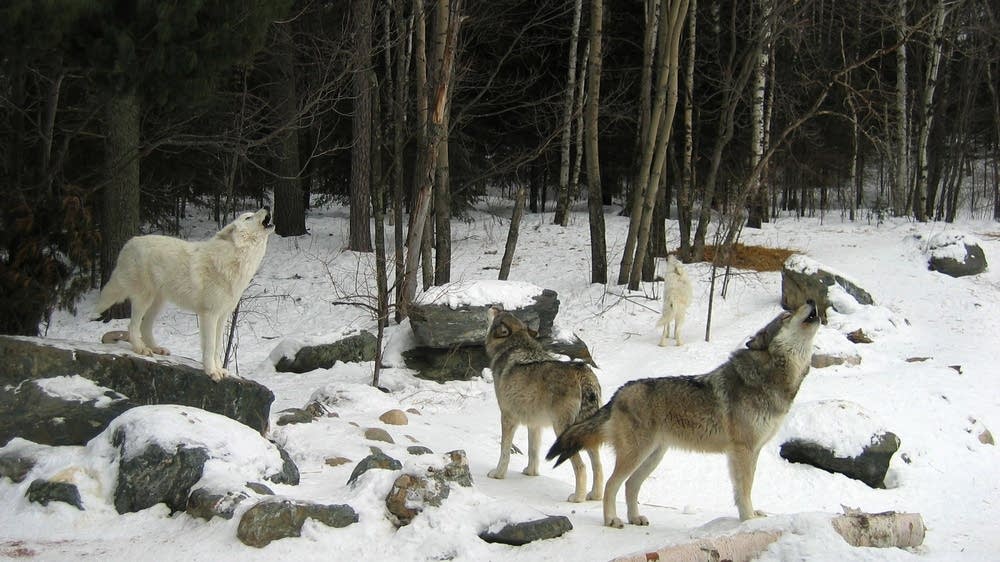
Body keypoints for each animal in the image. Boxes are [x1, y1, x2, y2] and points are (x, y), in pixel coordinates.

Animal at [93, 209, 274, 381]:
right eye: (248, 217)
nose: (267, 207)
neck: (236, 259)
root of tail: (130, 242)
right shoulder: (209, 315)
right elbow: (210, 347)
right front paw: (211, 372)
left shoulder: (222, 316)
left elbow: (217, 348)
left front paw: (220, 370)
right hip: (143, 299)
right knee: (132, 326)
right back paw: (141, 349)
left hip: (158, 304)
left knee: (145, 327)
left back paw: (156, 349)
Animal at [484, 308, 604, 503]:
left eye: (499, 313)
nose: (492, 305)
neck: (514, 345)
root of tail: (583, 373)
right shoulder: (534, 424)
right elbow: (533, 451)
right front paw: (530, 473)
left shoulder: (508, 417)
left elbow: (504, 451)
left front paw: (498, 474)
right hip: (586, 433)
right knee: (599, 466)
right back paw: (594, 496)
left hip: (562, 432)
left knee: (582, 466)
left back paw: (577, 498)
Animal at [547, 301, 820, 527]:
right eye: (786, 315)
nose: (812, 301)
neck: (770, 377)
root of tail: (620, 392)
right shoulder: (743, 451)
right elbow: (744, 490)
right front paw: (748, 520)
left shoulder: (753, 451)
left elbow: (746, 489)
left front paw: (752, 516)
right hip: (636, 454)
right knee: (612, 484)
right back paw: (612, 520)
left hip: (653, 456)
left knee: (630, 485)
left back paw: (635, 518)